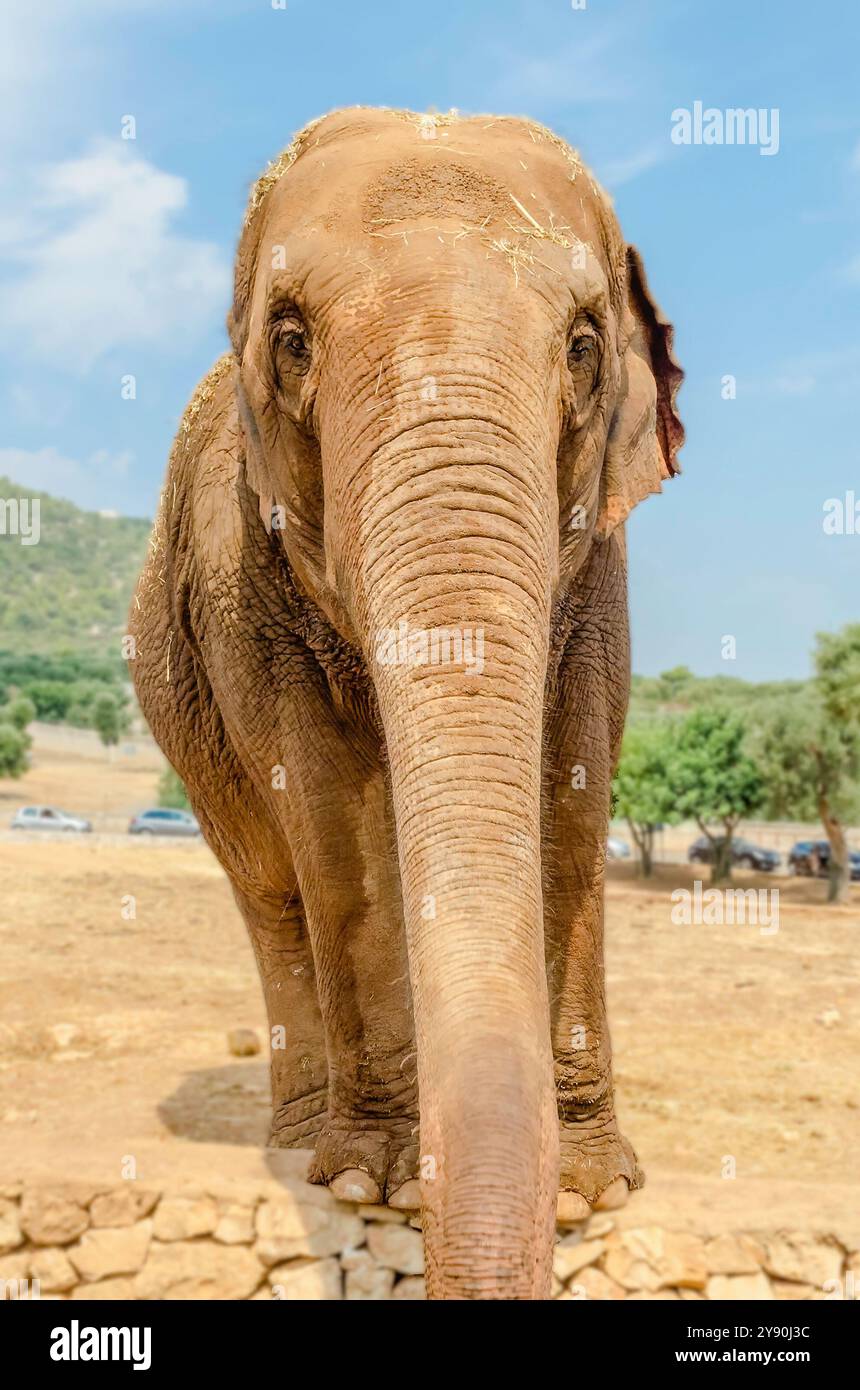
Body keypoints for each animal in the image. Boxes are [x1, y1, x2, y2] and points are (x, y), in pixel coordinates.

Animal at [130, 106, 683, 1300]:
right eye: (291, 340)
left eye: (583, 347)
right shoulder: (243, 577)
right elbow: (330, 816)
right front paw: (371, 1184)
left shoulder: (599, 561)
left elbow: (572, 783)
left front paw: (585, 1192)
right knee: (273, 894)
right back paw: (303, 1142)